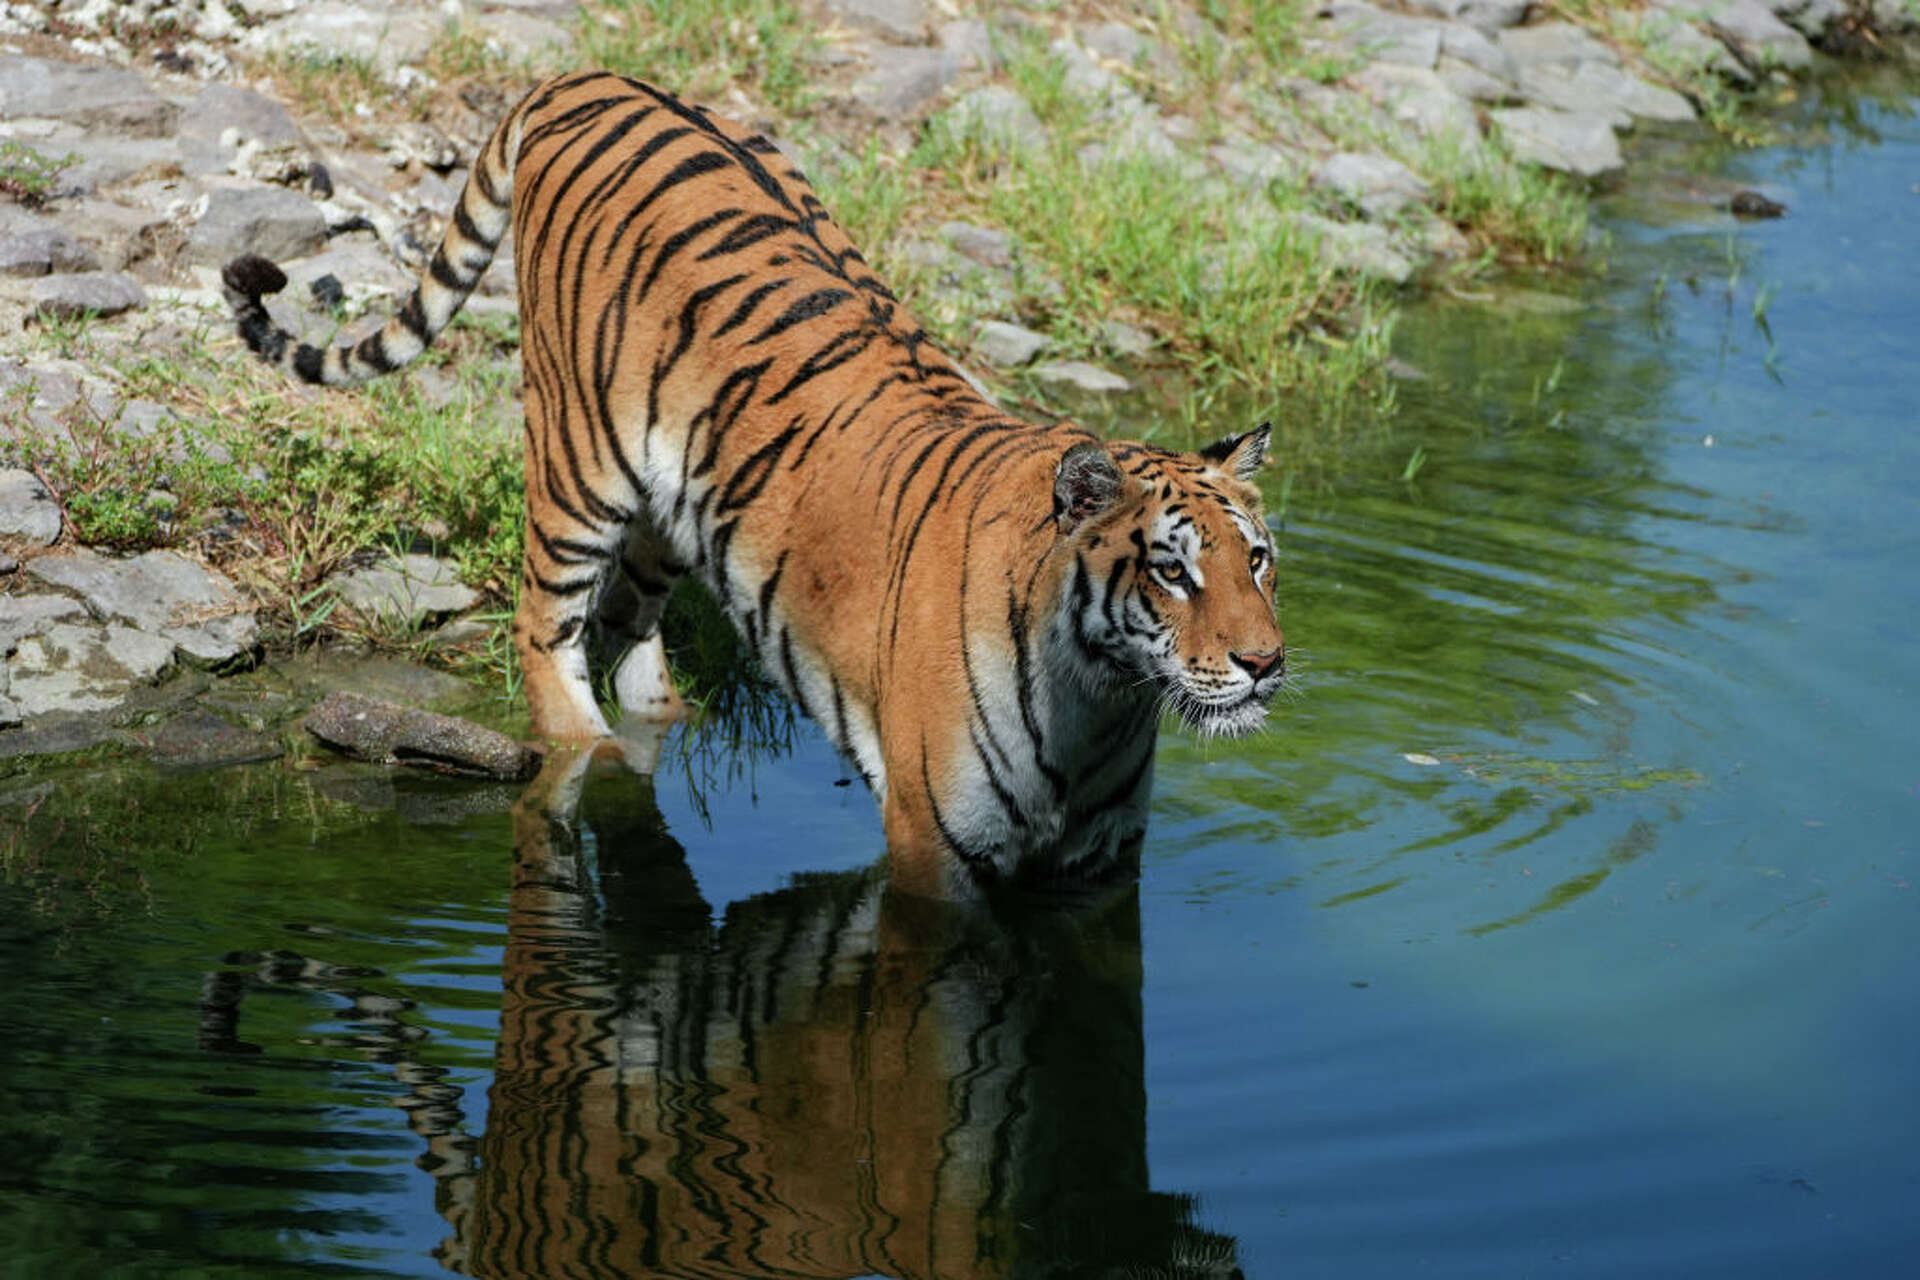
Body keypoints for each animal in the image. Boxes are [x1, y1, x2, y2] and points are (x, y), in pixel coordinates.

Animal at [222, 71, 1288, 896]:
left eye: (1258, 563)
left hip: (677, 503)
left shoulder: (1100, 870)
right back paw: (588, 748)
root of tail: (586, 76)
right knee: (545, 628)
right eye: (1171, 571)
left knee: (628, 623)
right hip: (577, 460)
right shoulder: (933, 856)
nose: (1265, 663)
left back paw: (662, 722)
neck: (1102, 701)